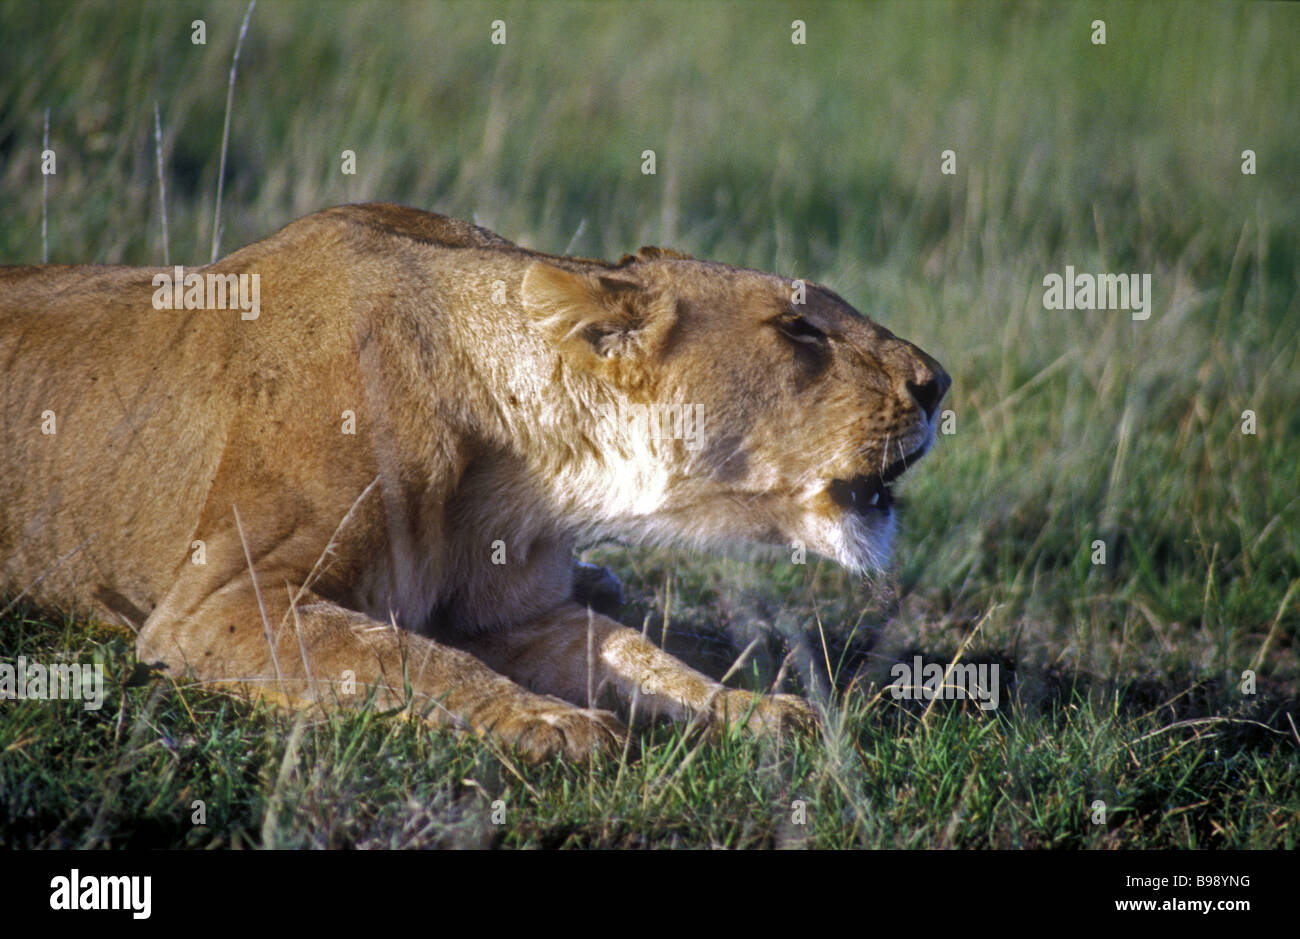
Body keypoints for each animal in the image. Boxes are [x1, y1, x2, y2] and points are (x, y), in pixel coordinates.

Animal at [0, 203, 948, 761]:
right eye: (799, 330)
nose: (939, 382)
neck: (534, 472)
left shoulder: (516, 616)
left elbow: (632, 653)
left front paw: (754, 709)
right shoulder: (220, 599)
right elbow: (405, 653)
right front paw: (552, 722)